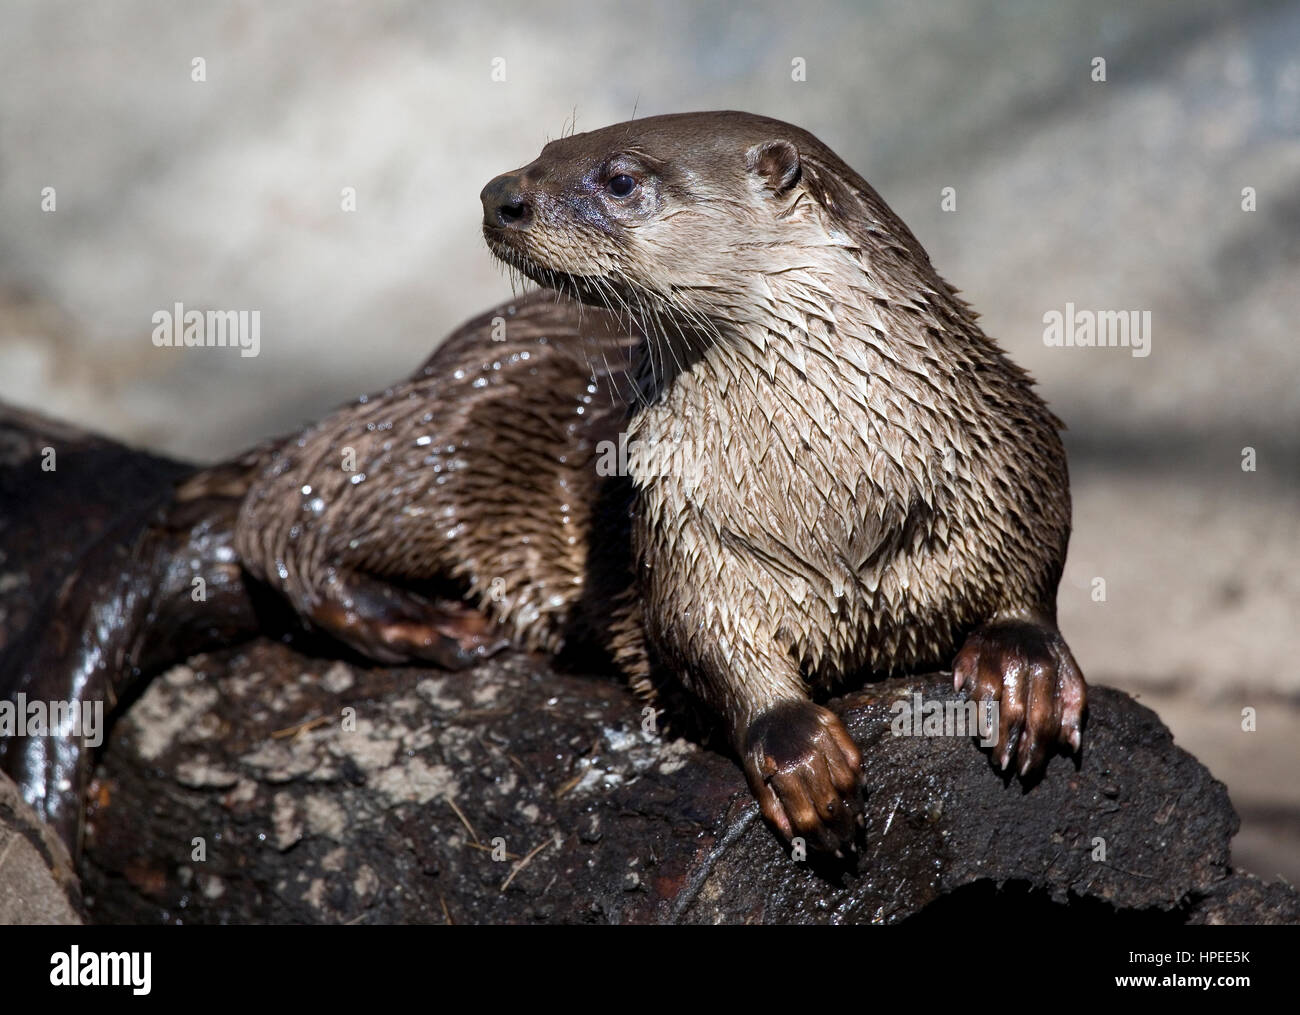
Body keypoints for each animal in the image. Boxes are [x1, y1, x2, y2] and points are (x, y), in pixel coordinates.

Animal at [480, 111, 1087, 853]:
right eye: (547, 149)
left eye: (621, 180)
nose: (500, 195)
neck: (833, 511)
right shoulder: (677, 520)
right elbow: (695, 629)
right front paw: (798, 748)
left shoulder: (1005, 436)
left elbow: (1040, 531)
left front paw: (1024, 666)